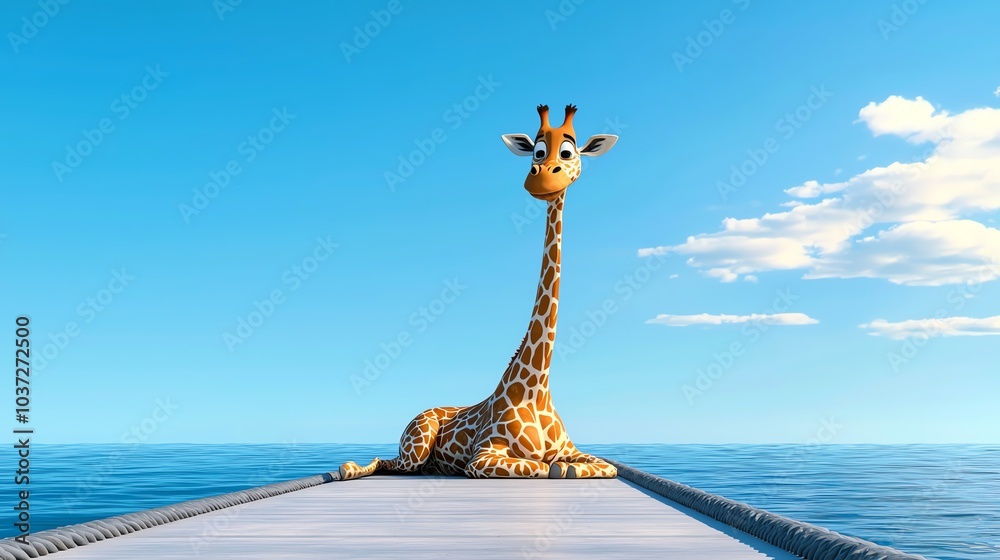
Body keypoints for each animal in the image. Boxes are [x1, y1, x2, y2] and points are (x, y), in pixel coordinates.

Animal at [339, 104, 618, 480]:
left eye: (568, 151)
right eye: (536, 150)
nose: (541, 178)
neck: (537, 389)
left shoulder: (572, 450)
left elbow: (595, 466)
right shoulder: (481, 457)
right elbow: (544, 469)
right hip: (415, 446)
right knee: (391, 462)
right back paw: (349, 467)